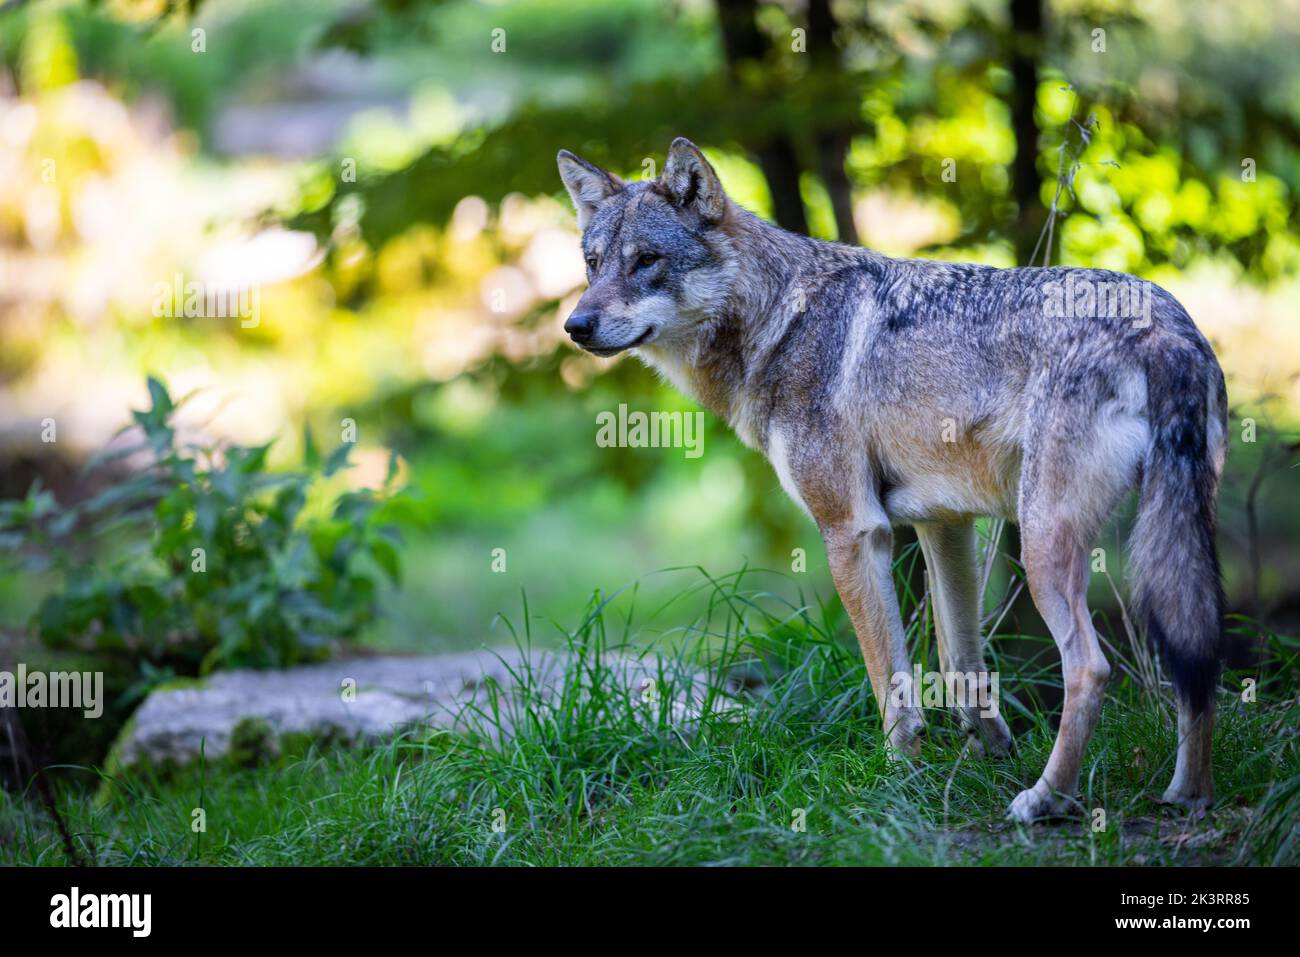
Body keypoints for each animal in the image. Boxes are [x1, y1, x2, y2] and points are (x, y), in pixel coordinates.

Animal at [557, 138, 1227, 821]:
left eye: (646, 260)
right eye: (592, 264)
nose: (575, 327)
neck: (778, 320)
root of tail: (1166, 326)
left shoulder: (854, 532)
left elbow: (890, 680)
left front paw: (897, 774)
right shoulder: (946, 527)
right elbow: (961, 667)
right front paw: (986, 755)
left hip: (1044, 545)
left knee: (1090, 668)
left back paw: (1045, 798)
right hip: (1172, 535)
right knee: (1199, 654)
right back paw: (1188, 795)